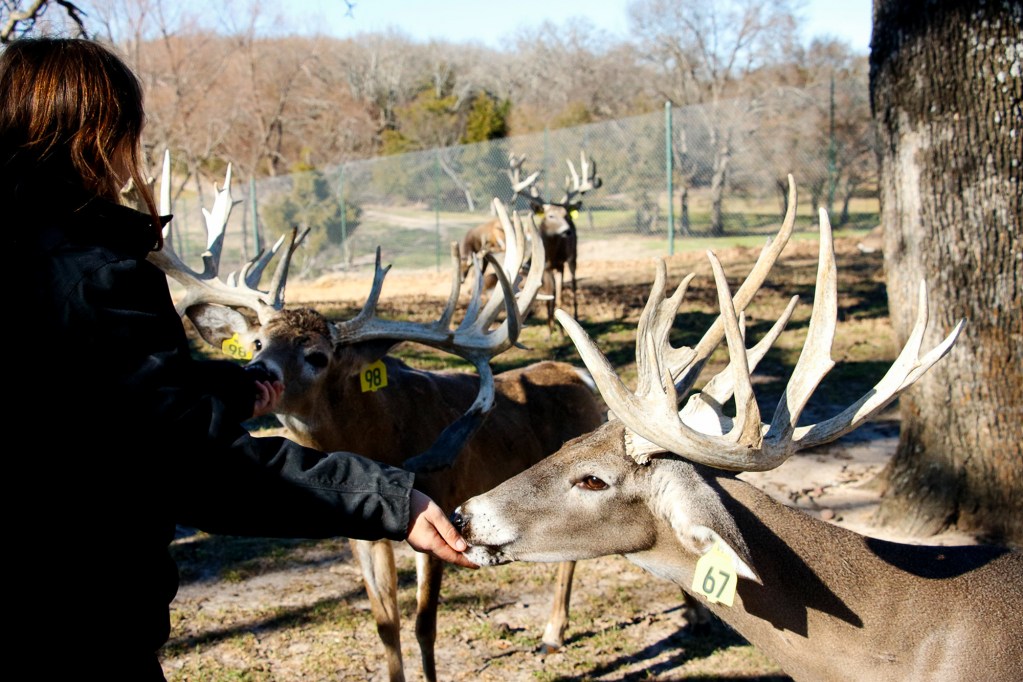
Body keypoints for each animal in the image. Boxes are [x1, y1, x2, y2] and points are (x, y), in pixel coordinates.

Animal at [149, 154, 605, 682]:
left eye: (318, 356)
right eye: (259, 341)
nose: (257, 371)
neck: (375, 439)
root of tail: (580, 376)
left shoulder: (441, 509)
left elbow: (424, 625)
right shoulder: (363, 532)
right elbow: (386, 623)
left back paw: (554, 634)